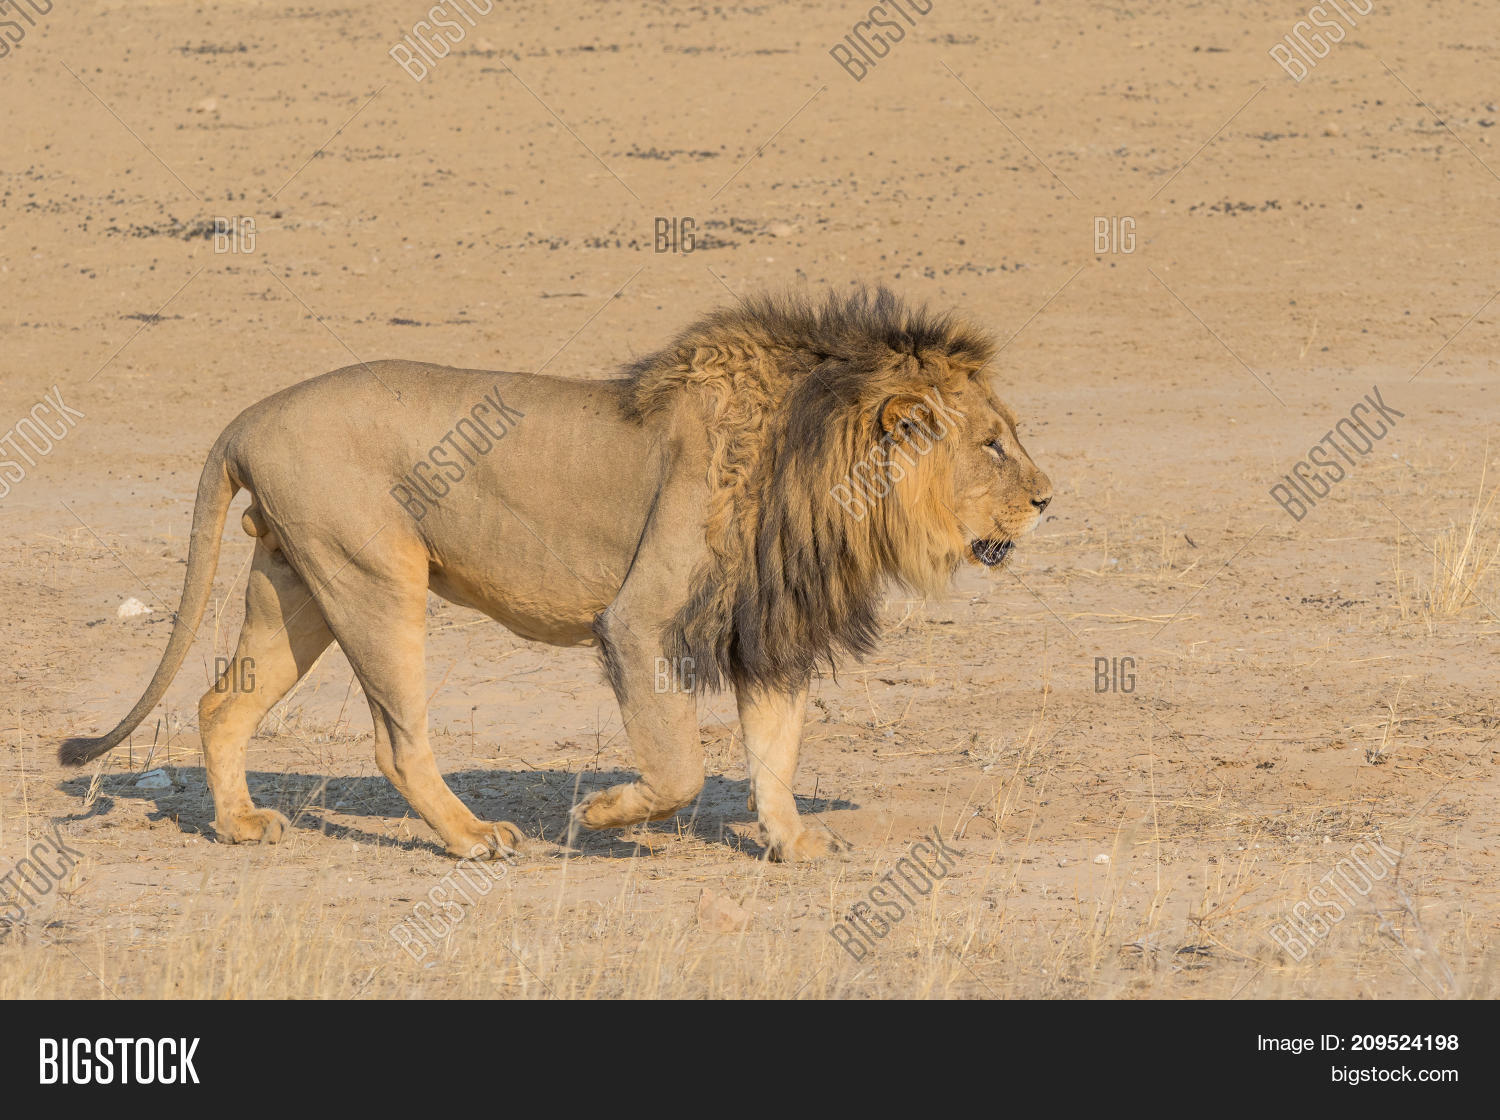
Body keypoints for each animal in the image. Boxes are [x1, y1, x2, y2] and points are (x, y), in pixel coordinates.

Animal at [60, 288, 1052, 862]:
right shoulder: (640, 620)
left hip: (296, 582)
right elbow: (680, 767)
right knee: (395, 738)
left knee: (220, 704)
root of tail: (248, 416)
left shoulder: (765, 628)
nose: (1049, 498)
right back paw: (472, 838)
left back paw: (238, 825)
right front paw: (606, 815)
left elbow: (775, 753)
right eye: (993, 445)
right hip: (376, 582)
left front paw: (795, 842)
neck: (820, 466)